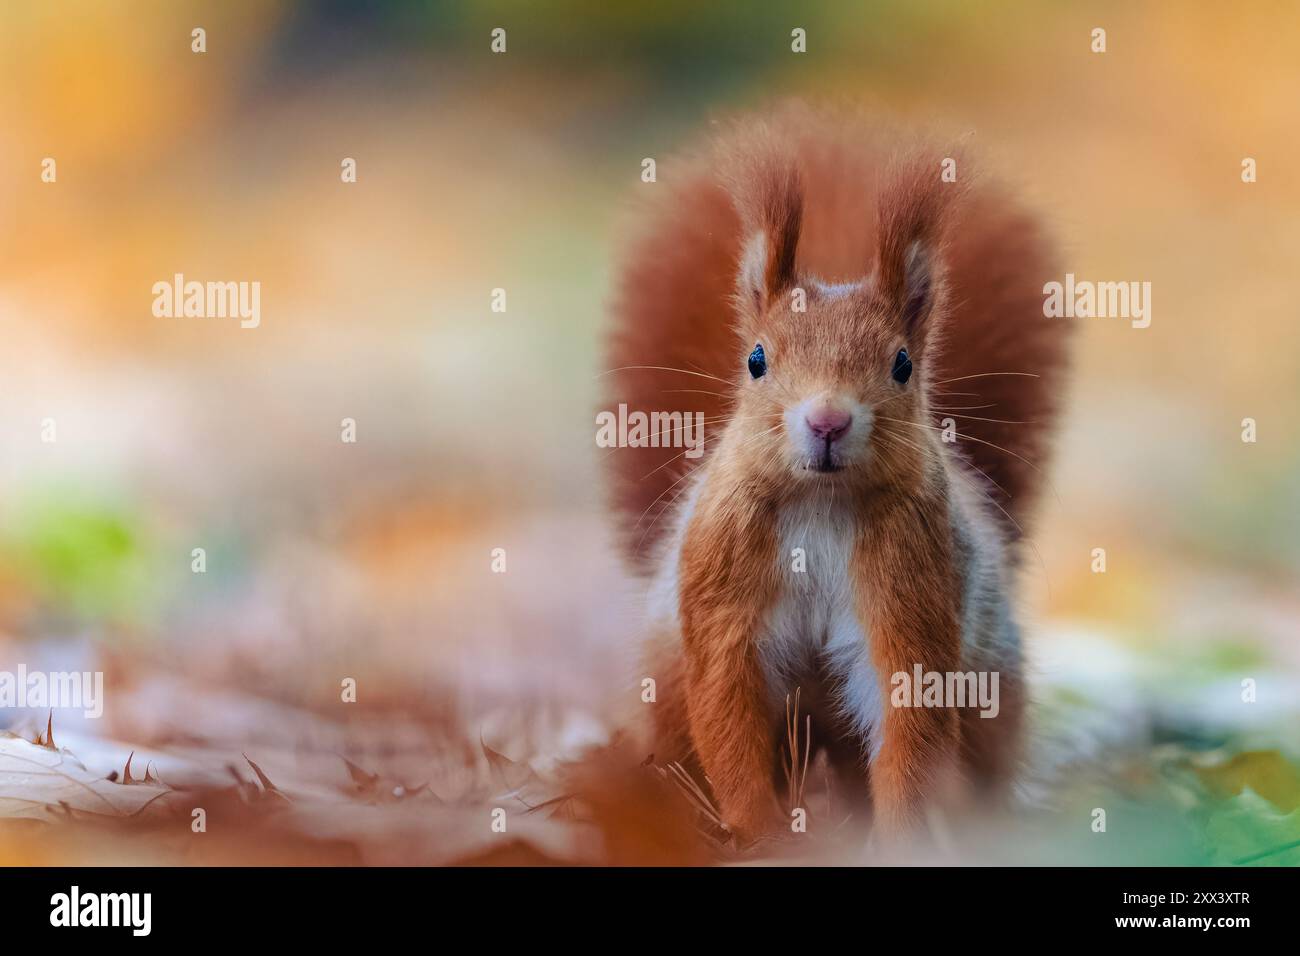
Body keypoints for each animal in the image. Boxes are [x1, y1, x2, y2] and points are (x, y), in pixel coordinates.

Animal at [604, 105, 1072, 843]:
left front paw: (902, 840)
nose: (827, 419)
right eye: (756, 360)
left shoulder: (912, 578)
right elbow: (729, 713)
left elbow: (910, 715)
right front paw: (758, 831)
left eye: (903, 364)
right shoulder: (724, 587)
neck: (820, 503)